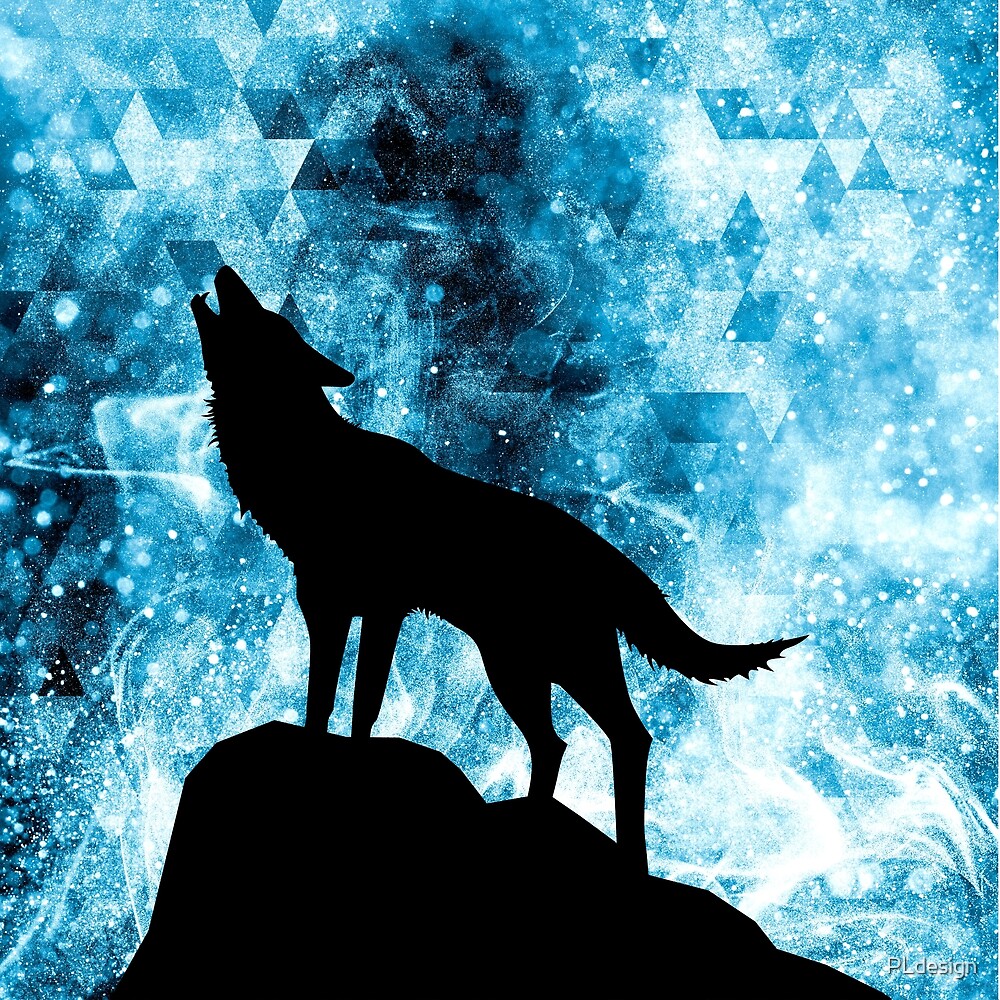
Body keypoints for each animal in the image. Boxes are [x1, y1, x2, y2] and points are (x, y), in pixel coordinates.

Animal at [191, 266, 805, 873]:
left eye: (266, 319)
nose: (224, 270)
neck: (307, 463)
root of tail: (615, 558)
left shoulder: (384, 611)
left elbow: (365, 703)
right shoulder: (326, 609)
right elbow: (320, 699)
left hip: (561, 662)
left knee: (628, 737)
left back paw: (625, 856)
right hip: (517, 667)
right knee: (556, 742)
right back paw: (530, 821)